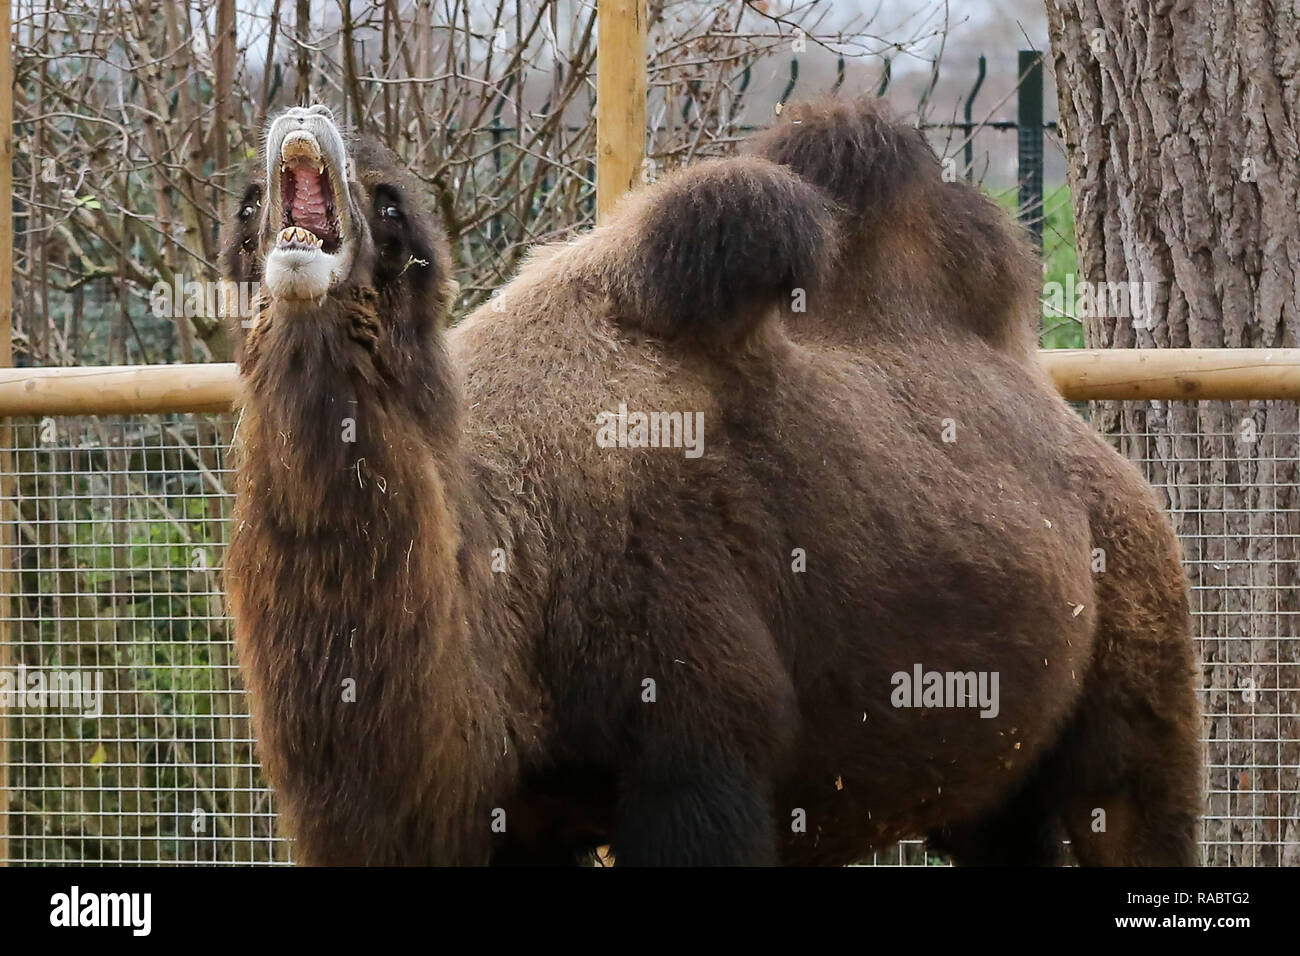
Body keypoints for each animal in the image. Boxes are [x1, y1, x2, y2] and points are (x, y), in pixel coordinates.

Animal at [221, 100, 1201, 866]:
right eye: (245, 206)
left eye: (390, 204)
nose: (302, 117)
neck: (517, 558)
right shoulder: (522, 816)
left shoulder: (698, 755)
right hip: (996, 774)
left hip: (1140, 669)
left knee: (1133, 807)